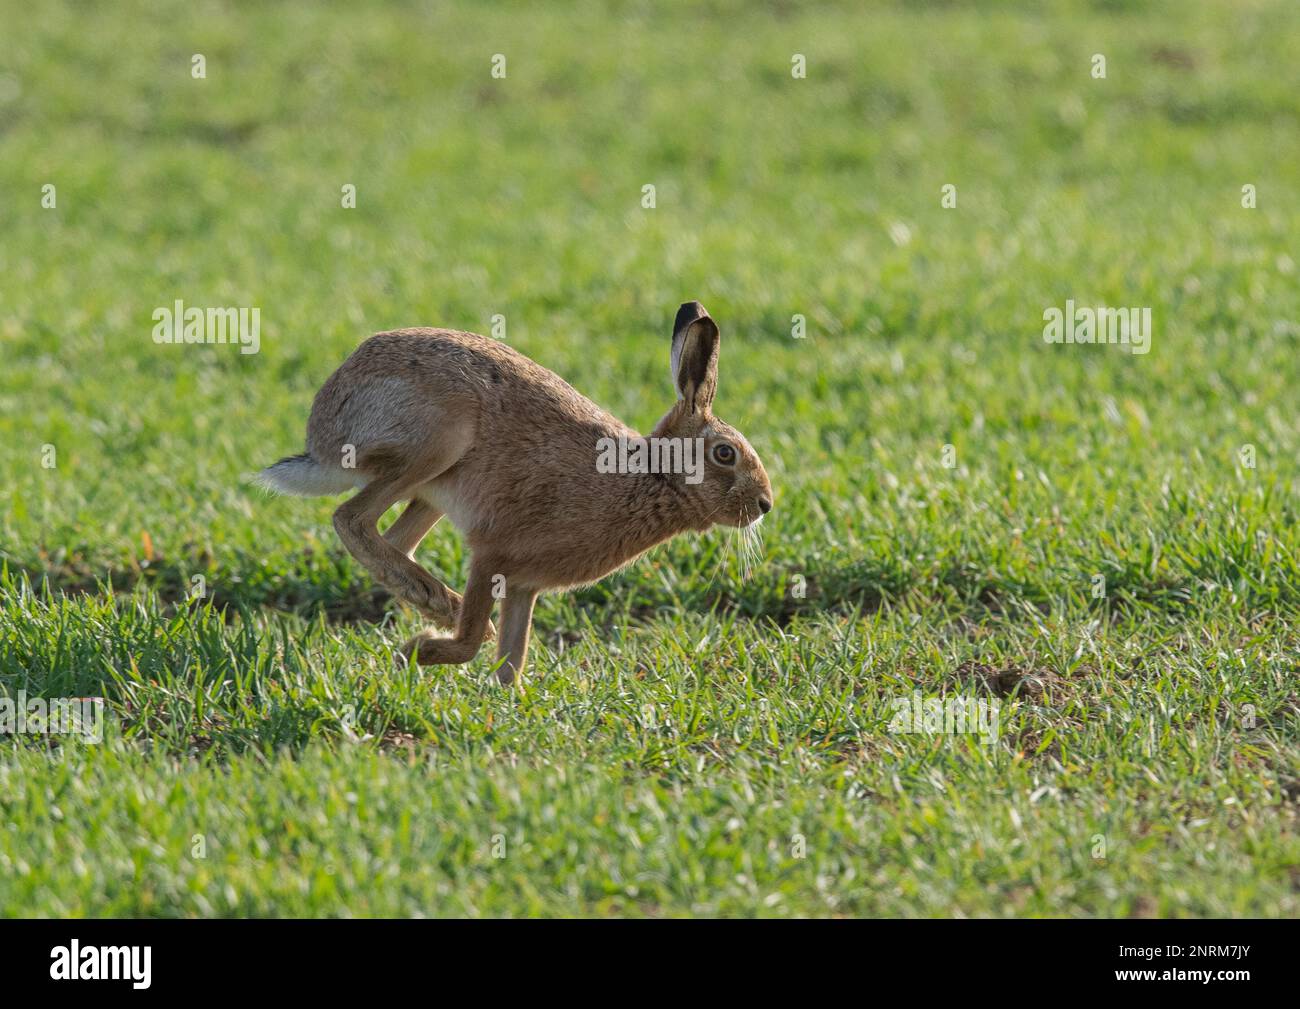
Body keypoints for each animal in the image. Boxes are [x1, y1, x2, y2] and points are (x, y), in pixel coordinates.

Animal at [257, 301, 773, 685]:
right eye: (725, 454)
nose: (765, 504)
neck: (649, 476)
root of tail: (321, 434)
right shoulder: (493, 557)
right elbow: (471, 644)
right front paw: (414, 652)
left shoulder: (525, 584)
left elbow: (512, 656)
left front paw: (509, 695)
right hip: (439, 439)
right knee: (352, 518)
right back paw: (439, 604)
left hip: (432, 486)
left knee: (394, 538)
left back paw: (433, 601)